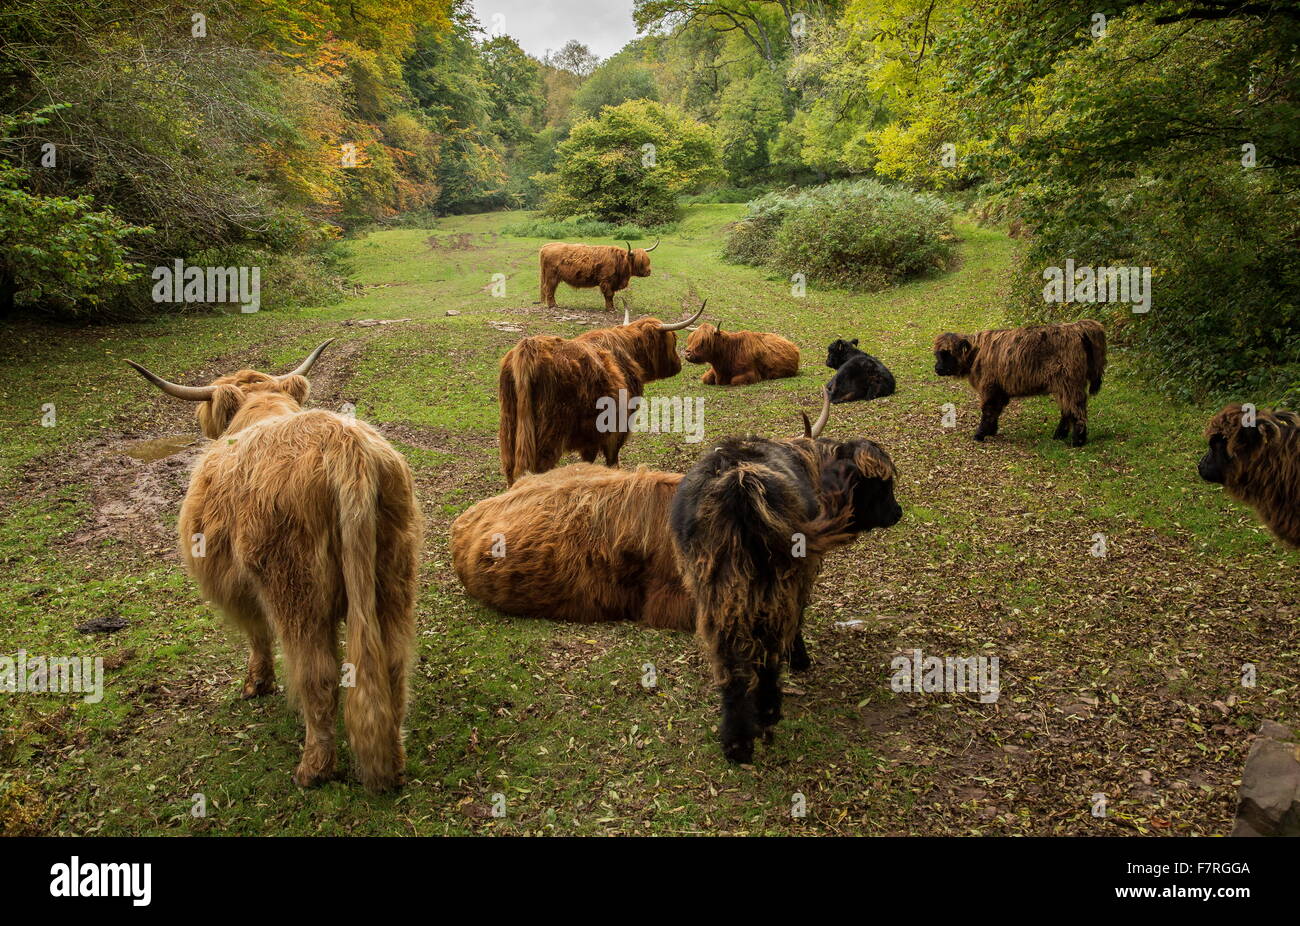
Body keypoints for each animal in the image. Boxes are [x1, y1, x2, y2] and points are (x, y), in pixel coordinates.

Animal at [126, 342, 422, 792]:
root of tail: (344, 445)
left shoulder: (237, 584)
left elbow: (256, 633)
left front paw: (256, 683)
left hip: (295, 589)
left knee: (317, 673)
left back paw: (313, 768)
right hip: (392, 576)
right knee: (391, 663)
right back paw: (395, 759)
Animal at [497, 302, 704, 485]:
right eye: (673, 340)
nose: (679, 363)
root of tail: (529, 347)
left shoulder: (590, 437)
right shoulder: (617, 428)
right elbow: (612, 460)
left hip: (509, 432)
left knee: (510, 471)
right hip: (548, 437)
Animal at [670, 389, 903, 763]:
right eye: (877, 484)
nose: (897, 512)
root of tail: (742, 483)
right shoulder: (805, 572)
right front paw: (800, 658)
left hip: (715, 587)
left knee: (727, 654)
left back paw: (736, 742)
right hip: (778, 580)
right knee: (769, 639)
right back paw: (768, 710)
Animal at [933, 320, 1106, 446]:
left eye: (947, 353)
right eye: (938, 354)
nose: (937, 368)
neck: (976, 354)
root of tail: (1078, 328)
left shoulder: (989, 388)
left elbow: (988, 411)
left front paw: (980, 434)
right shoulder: (999, 390)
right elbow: (995, 411)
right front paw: (991, 431)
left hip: (1070, 384)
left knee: (1077, 410)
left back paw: (1077, 441)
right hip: (1064, 386)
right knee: (1067, 410)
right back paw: (1059, 435)